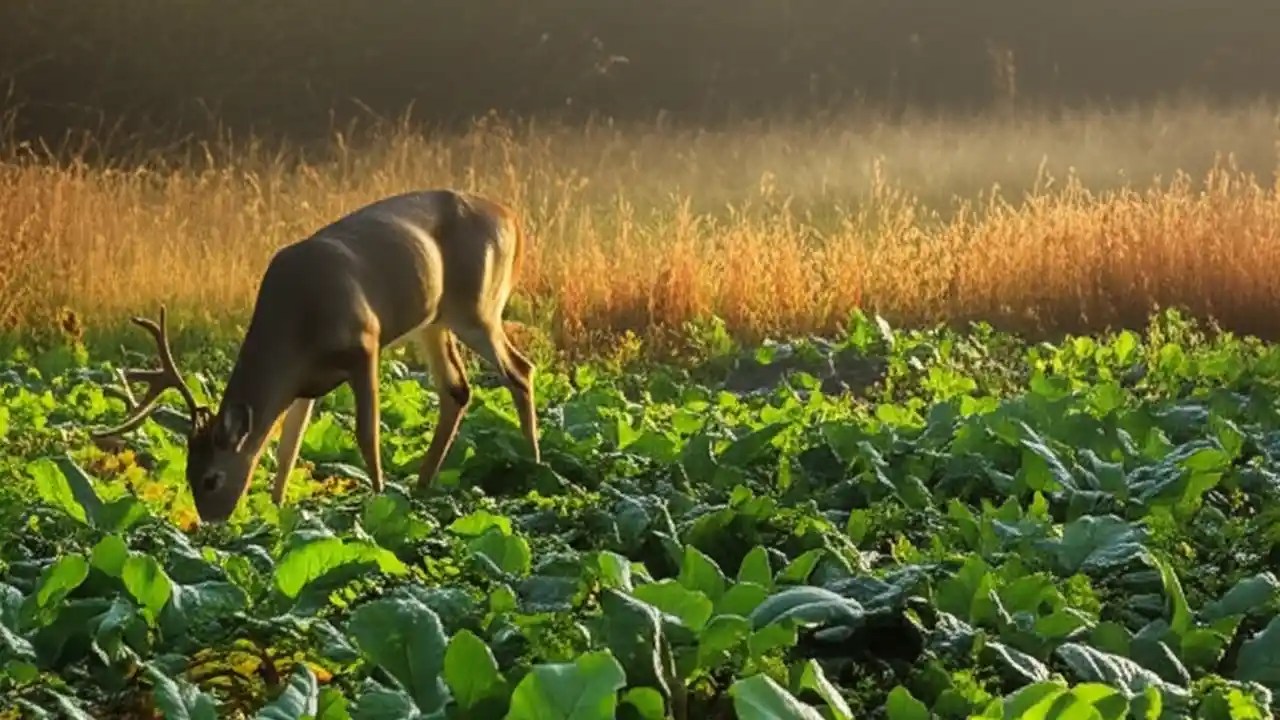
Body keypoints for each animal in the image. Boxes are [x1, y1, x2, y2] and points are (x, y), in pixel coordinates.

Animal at [91, 189, 541, 524]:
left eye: (212, 479)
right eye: (188, 473)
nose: (210, 522)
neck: (297, 323)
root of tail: (513, 220)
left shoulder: (365, 343)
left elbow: (366, 433)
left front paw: (378, 499)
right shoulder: (304, 383)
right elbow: (288, 447)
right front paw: (276, 508)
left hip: (477, 308)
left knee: (520, 370)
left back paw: (533, 467)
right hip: (434, 321)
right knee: (458, 390)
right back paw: (423, 484)